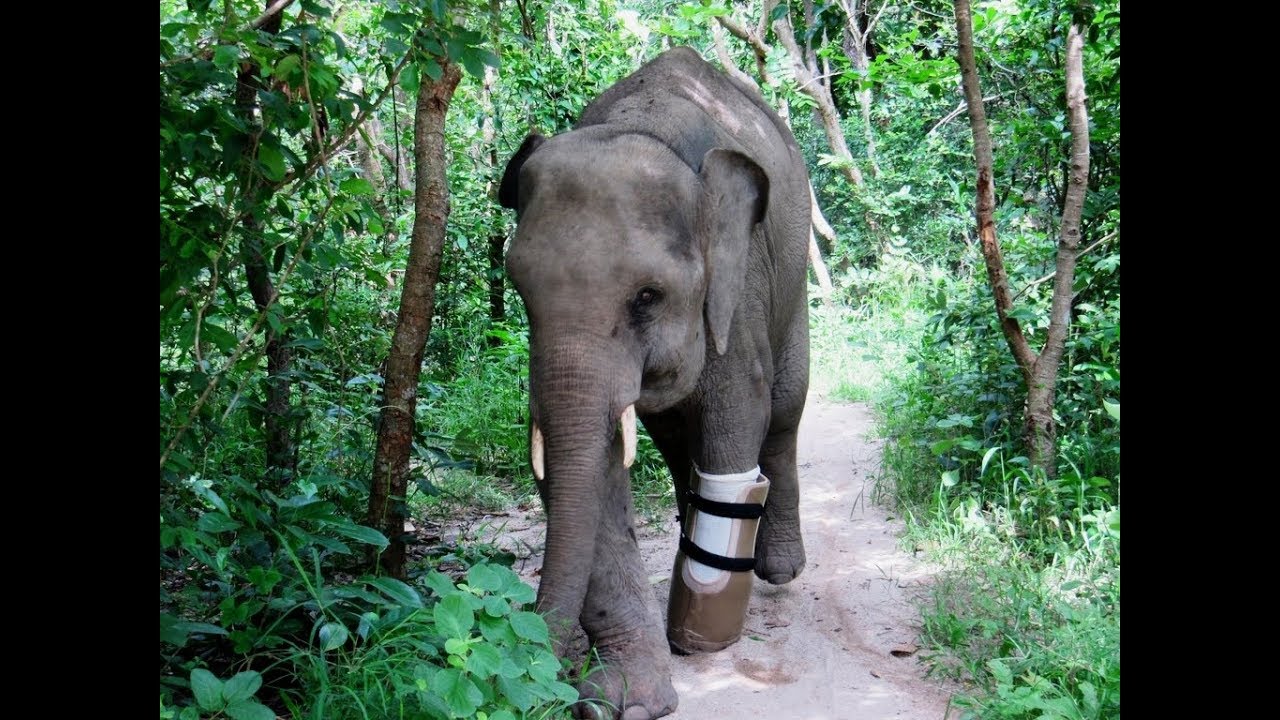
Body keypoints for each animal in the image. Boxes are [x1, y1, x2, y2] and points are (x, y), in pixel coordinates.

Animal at [498, 46, 810, 720]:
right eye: (519, 290)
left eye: (647, 296)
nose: (547, 667)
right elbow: (587, 469)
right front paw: (622, 700)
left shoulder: (737, 289)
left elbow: (737, 418)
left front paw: (699, 642)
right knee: (672, 439)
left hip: (793, 280)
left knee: (784, 410)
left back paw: (778, 572)